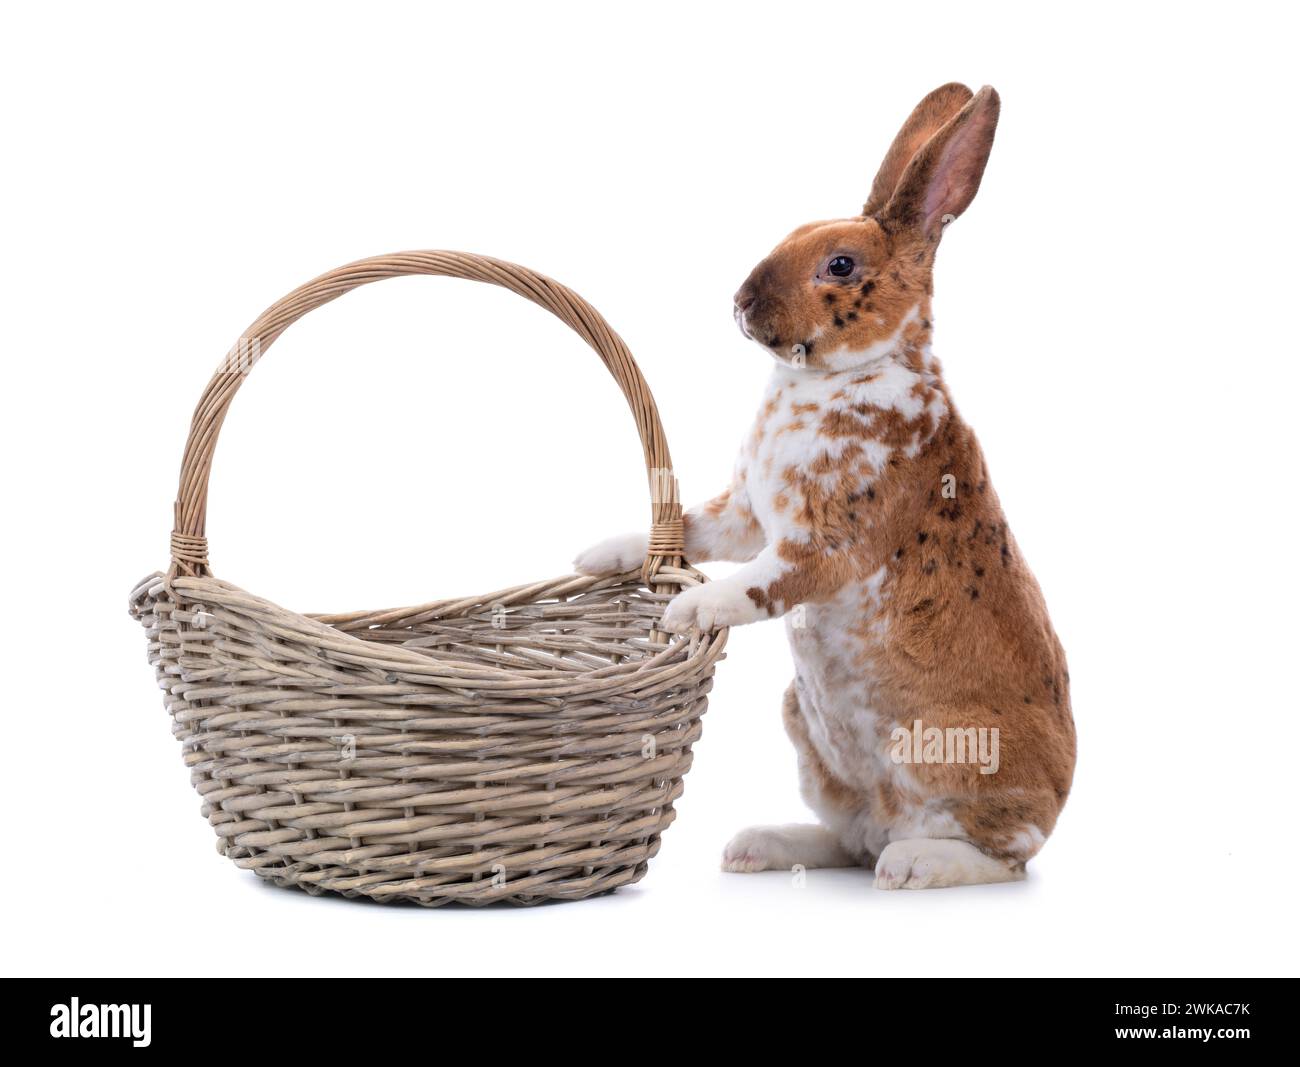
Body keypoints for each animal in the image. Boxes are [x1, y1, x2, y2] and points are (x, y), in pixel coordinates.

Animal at [576, 83, 1075, 889]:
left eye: (840, 265)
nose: (741, 301)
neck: (841, 376)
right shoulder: (745, 515)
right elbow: (689, 528)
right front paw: (600, 554)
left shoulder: (823, 544)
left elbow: (755, 584)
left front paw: (687, 609)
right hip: (809, 738)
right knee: (848, 839)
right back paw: (757, 846)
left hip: (954, 763)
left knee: (1003, 857)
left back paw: (913, 865)